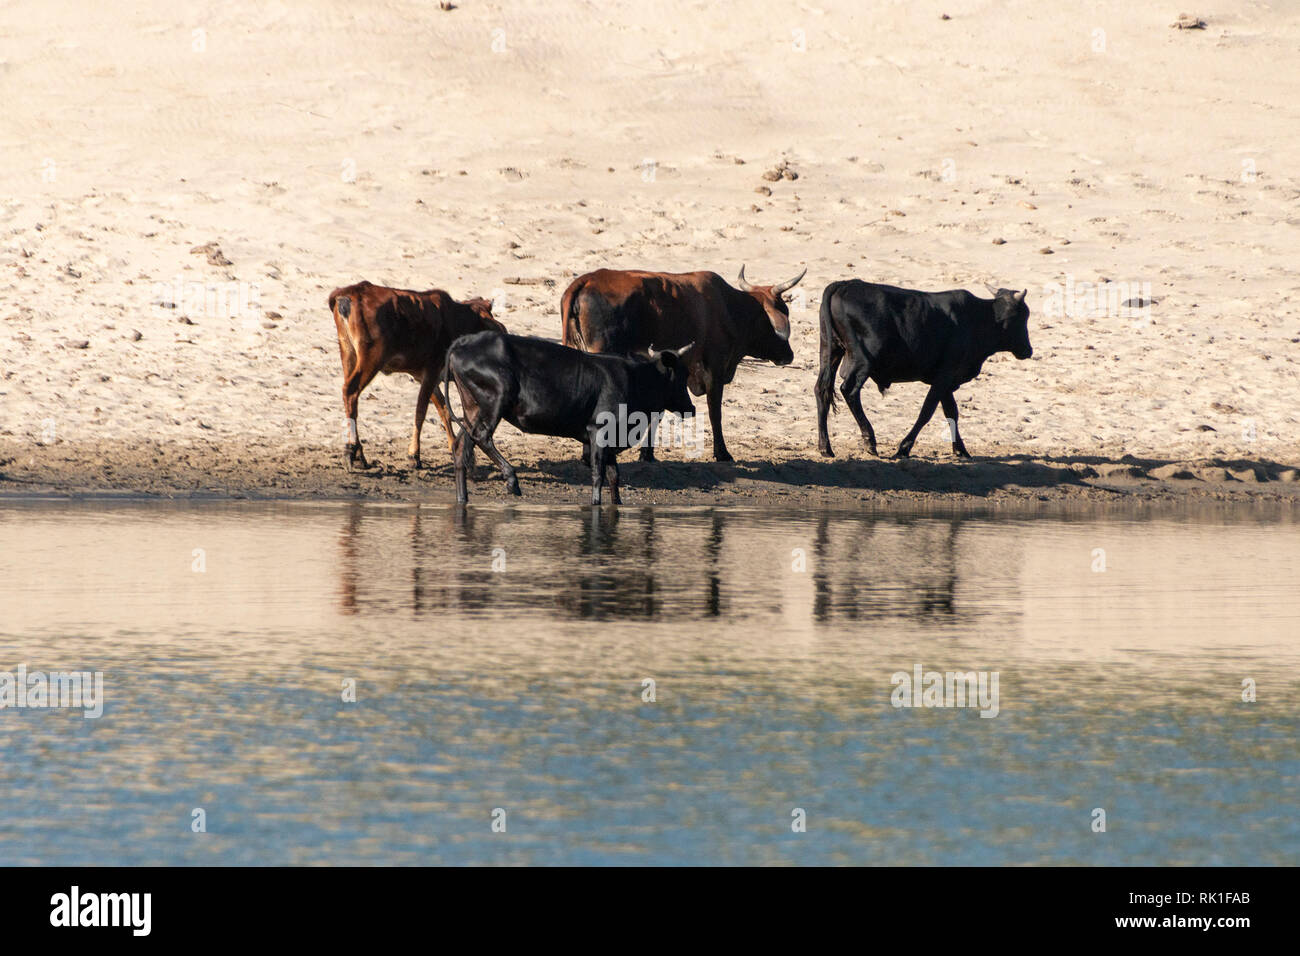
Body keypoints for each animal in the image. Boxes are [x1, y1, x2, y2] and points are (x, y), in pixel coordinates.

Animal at [328, 280, 504, 471]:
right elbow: (421, 411)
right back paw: (351, 450)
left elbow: (443, 410)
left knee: (350, 401)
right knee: (351, 392)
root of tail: (350, 292)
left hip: (347, 352)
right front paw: (414, 454)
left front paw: (454, 449)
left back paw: (359, 453)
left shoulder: (427, 376)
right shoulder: (431, 370)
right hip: (371, 358)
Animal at [444, 331, 695, 505]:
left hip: (472, 407)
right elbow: (598, 474)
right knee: (482, 436)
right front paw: (596, 504)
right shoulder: (599, 430)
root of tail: (464, 341)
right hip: (496, 398)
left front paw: (617, 504)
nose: (691, 407)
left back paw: (462, 499)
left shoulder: (612, 438)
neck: (635, 380)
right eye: (683, 374)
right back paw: (511, 480)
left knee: (462, 445)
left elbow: (614, 475)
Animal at [560, 265, 805, 462]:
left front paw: (647, 454)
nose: (789, 355)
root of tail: (588, 279)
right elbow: (715, 412)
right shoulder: (713, 368)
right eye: (783, 311)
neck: (728, 307)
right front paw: (722, 453)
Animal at [815, 280, 1033, 459]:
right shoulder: (945, 376)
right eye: (1022, 317)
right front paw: (904, 447)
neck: (979, 319)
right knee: (849, 390)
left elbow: (951, 412)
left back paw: (825, 447)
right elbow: (927, 411)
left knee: (822, 391)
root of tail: (844, 284)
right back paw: (870, 441)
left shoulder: (946, 381)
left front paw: (961, 450)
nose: (1028, 350)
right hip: (863, 360)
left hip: (829, 350)